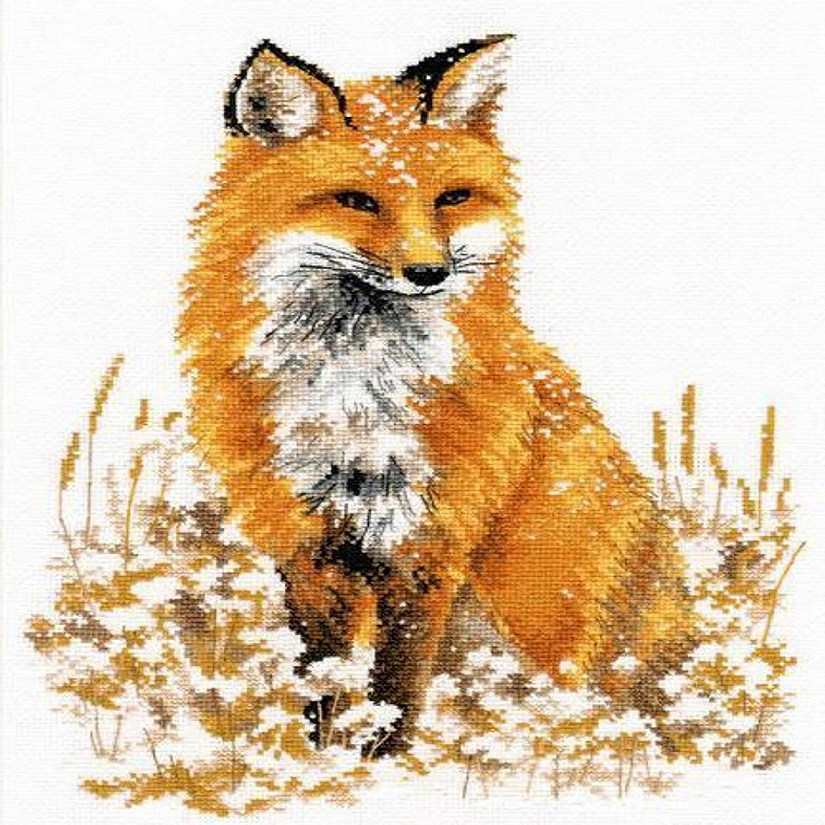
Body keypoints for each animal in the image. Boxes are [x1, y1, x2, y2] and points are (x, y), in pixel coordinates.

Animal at [179, 35, 695, 754]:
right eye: (356, 201)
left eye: (451, 198)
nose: (429, 272)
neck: (357, 401)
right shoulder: (307, 548)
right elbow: (323, 681)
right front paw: (320, 760)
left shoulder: (426, 548)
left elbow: (396, 689)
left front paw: (381, 761)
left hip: (537, 612)